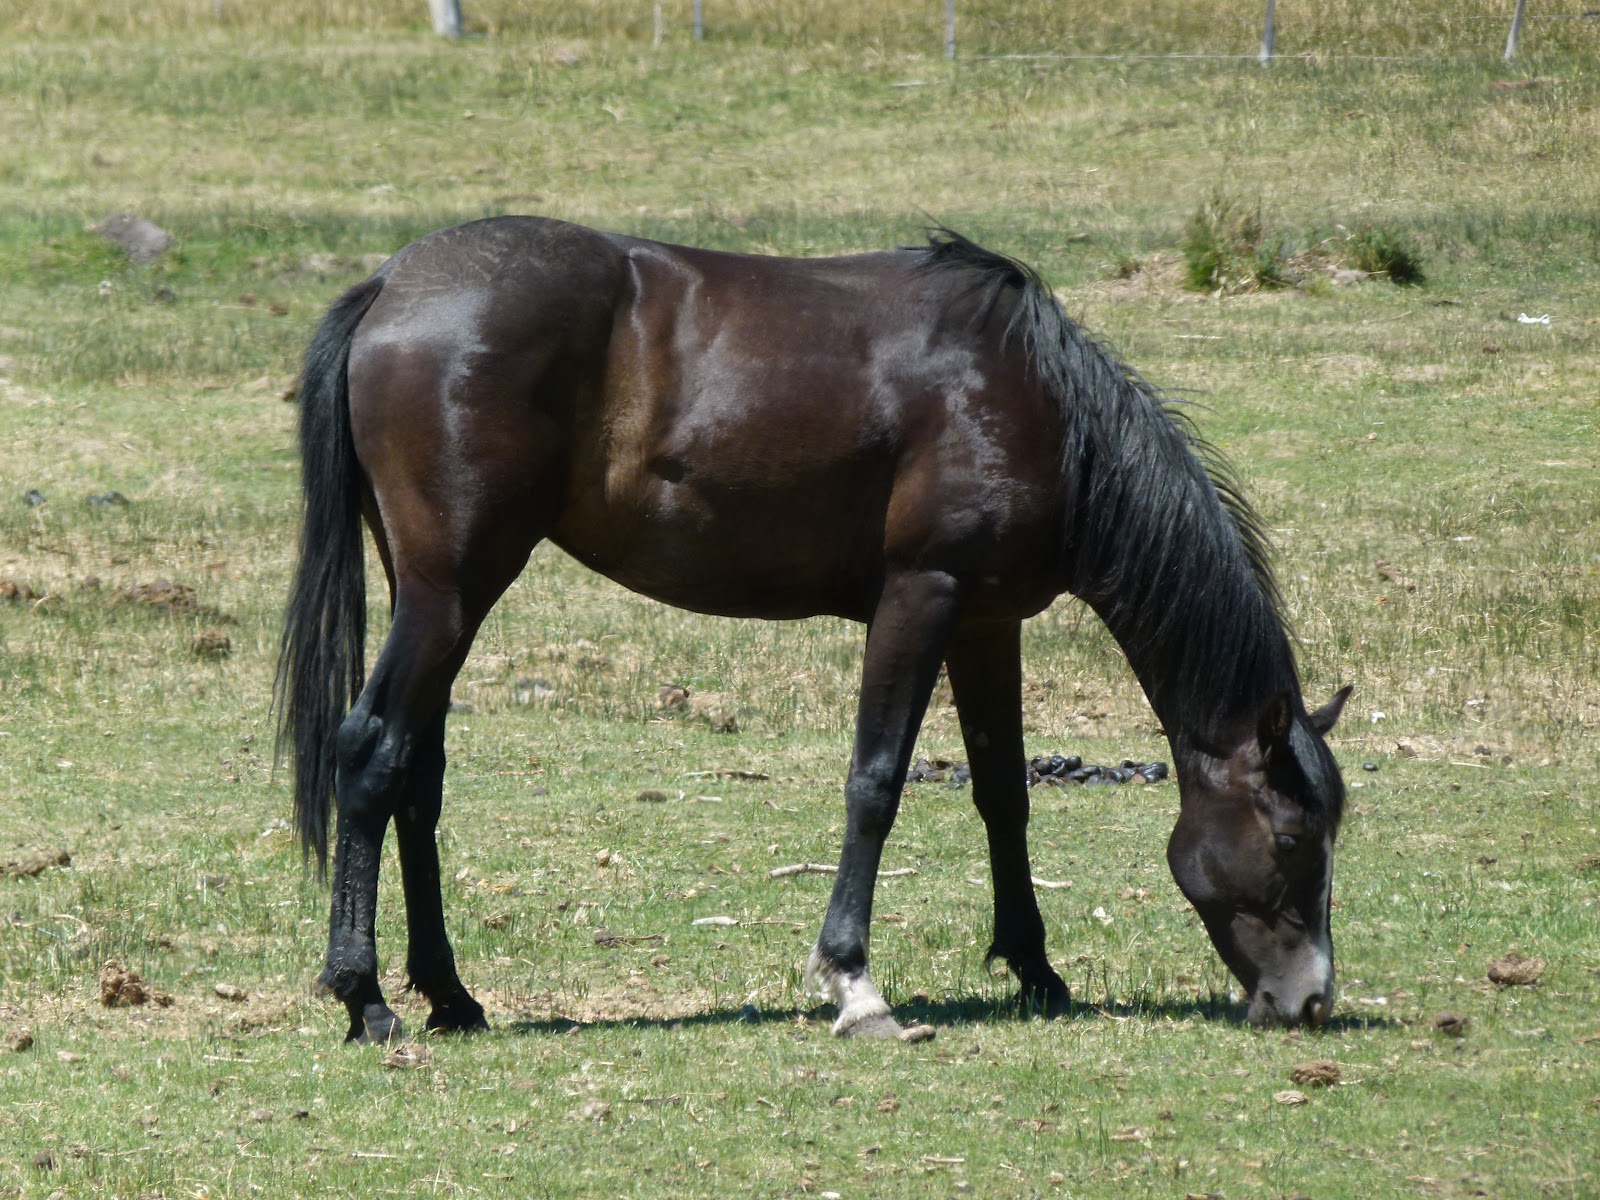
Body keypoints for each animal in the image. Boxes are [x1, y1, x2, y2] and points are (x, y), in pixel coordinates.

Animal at [276, 216, 1351, 1045]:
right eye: (1294, 838)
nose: (1310, 1001)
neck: (1031, 399)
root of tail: (390, 286)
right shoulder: (921, 599)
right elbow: (875, 785)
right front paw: (854, 982)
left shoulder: (987, 624)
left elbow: (1004, 796)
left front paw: (1037, 970)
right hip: (451, 591)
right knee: (372, 753)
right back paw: (366, 998)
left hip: (438, 597)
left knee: (418, 777)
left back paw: (450, 994)